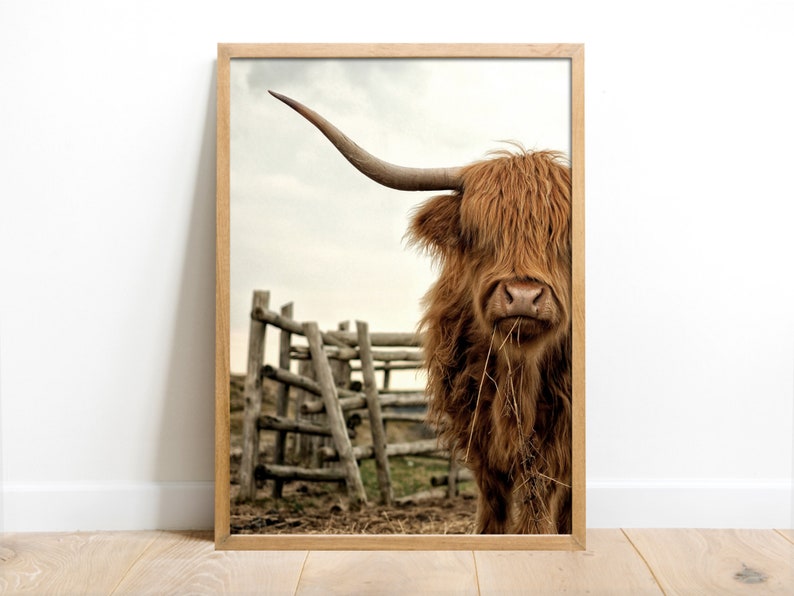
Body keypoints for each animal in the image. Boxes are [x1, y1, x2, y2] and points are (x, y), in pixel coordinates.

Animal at [270, 91, 572, 534]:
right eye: (479, 233)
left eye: (563, 237)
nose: (522, 296)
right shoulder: (477, 435)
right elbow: (493, 505)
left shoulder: (557, 439)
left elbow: (540, 506)